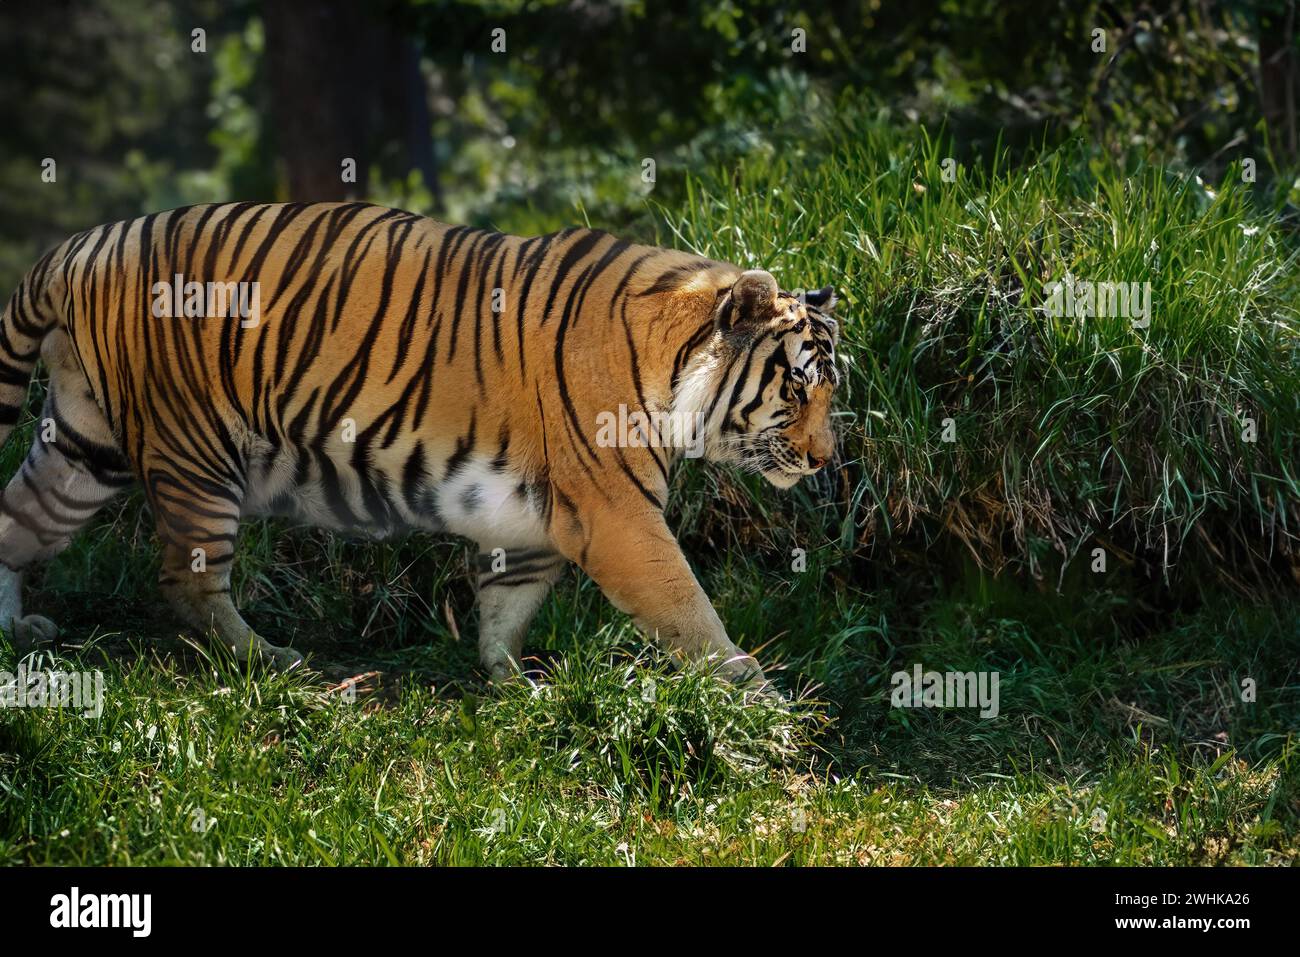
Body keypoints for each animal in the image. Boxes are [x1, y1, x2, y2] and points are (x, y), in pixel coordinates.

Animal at [0, 202, 840, 687]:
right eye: (798, 390)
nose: (824, 458)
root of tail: (78, 245)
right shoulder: (618, 516)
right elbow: (689, 611)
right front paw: (761, 699)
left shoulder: (535, 520)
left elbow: (507, 607)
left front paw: (512, 684)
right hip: (195, 451)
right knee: (186, 581)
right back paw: (271, 660)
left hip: (84, 447)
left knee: (16, 520)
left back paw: (16, 631)